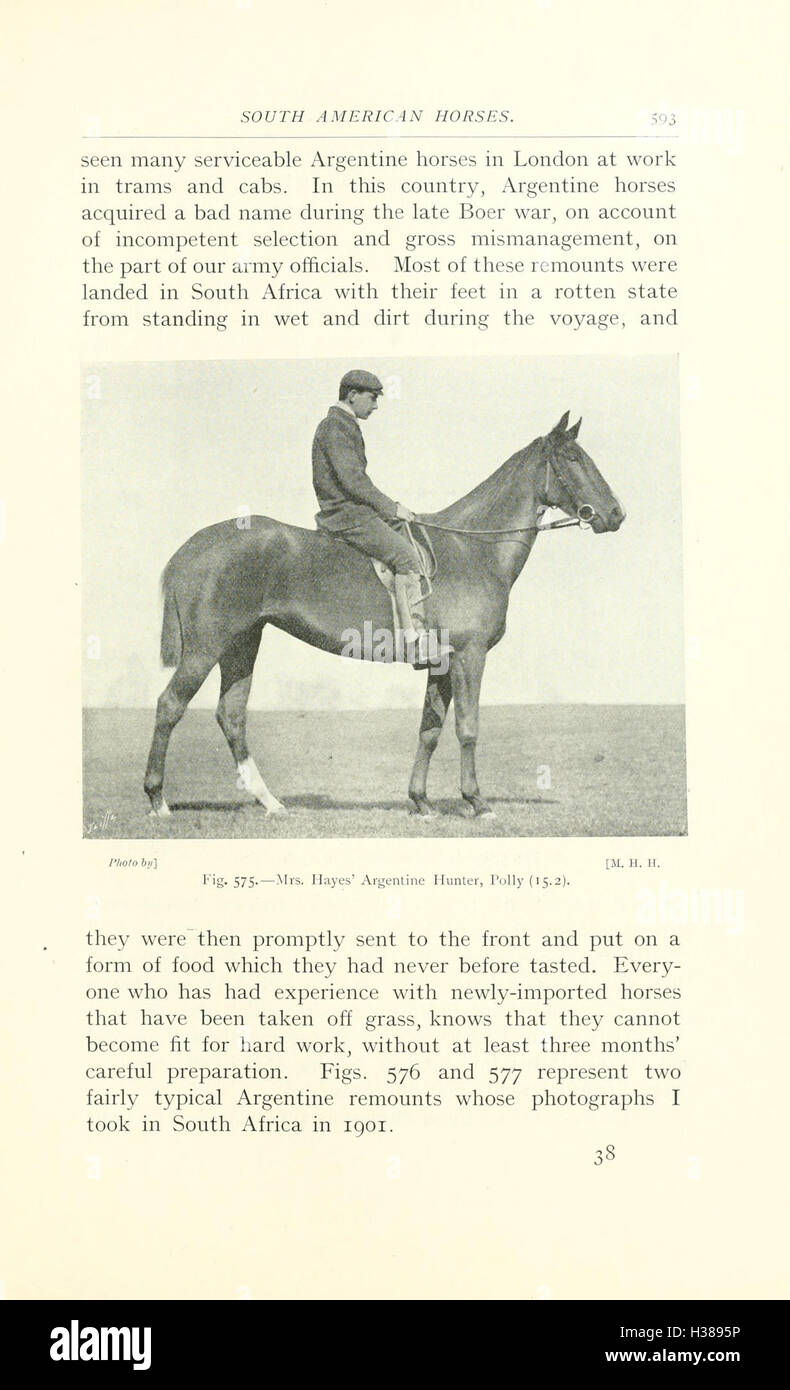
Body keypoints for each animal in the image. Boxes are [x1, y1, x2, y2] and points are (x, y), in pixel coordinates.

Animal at [144, 411, 625, 821]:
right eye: (574, 459)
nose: (616, 514)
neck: (473, 548)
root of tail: (191, 547)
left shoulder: (441, 664)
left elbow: (429, 730)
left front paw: (420, 801)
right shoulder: (469, 656)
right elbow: (467, 727)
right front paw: (477, 801)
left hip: (242, 644)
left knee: (232, 716)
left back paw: (270, 802)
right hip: (206, 648)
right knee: (170, 705)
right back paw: (157, 800)